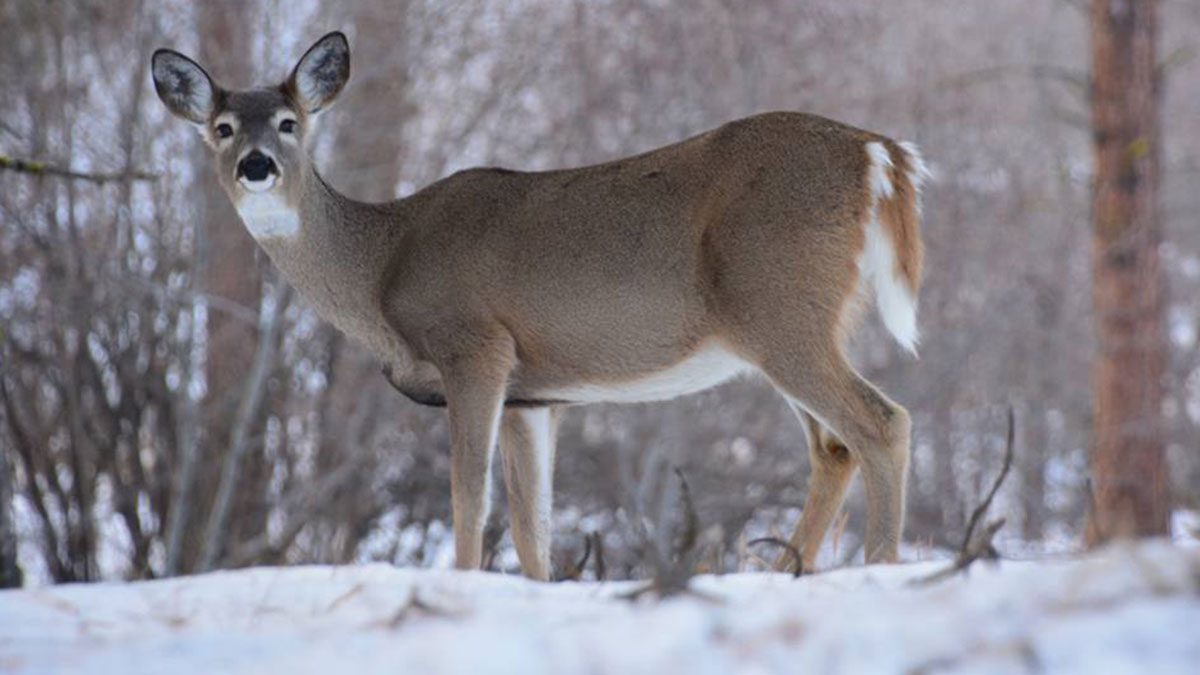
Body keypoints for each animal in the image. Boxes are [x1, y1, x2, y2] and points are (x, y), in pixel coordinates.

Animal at [151, 31, 928, 581]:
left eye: (289, 122)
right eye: (222, 127)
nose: (256, 166)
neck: (382, 266)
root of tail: (876, 154)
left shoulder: (476, 345)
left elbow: (470, 497)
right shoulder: (536, 394)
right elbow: (534, 528)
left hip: (780, 308)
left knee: (881, 422)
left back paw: (878, 568)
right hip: (790, 324)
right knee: (833, 445)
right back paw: (786, 570)